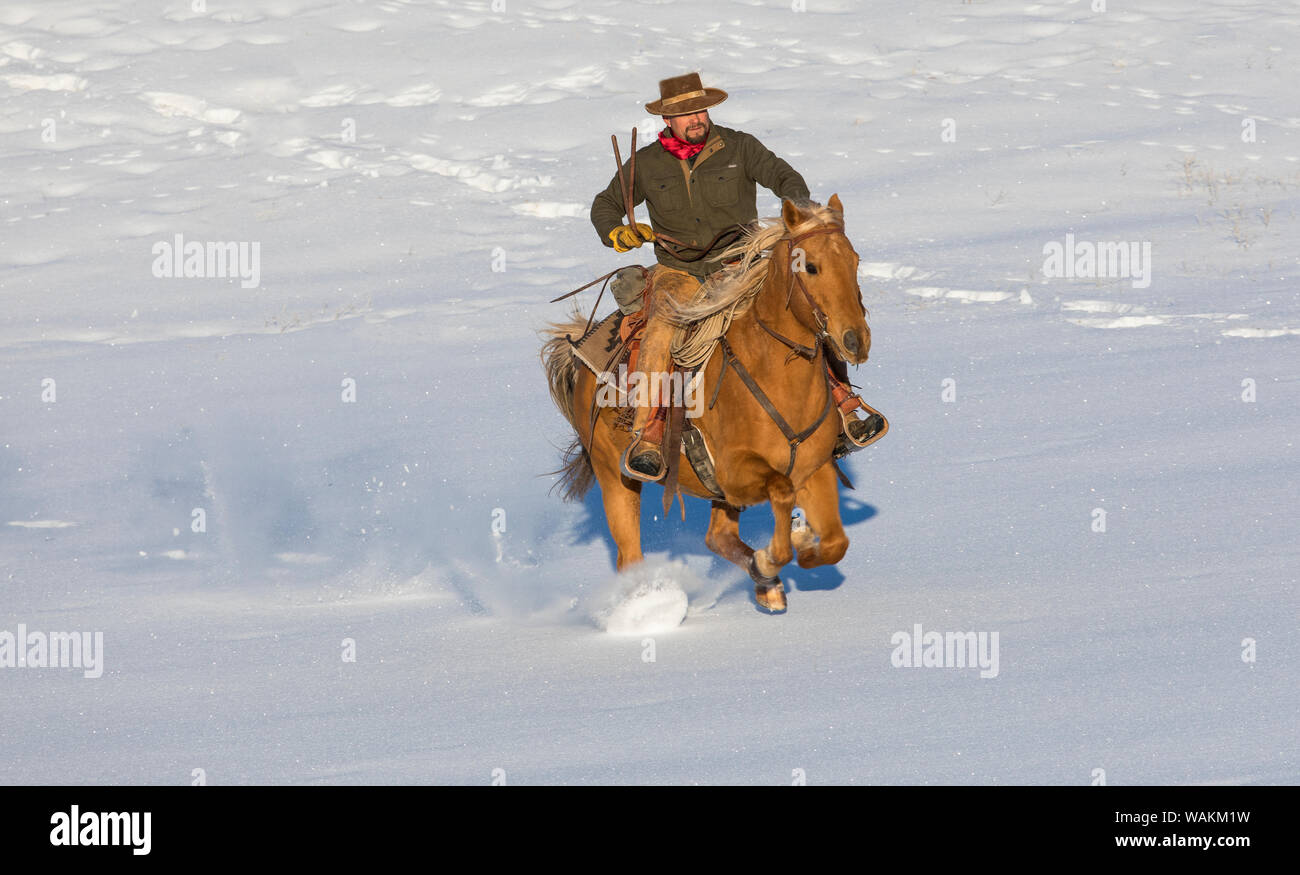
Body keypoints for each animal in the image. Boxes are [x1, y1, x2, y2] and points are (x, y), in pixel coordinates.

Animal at [541, 195, 871, 612]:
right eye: (810, 266)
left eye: (855, 260)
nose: (856, 340)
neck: (774, 376)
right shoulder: (735, 473)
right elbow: (781, 491)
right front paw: (775, 554)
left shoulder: (816, 469)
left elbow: (835, 543)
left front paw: (799, 546)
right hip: (615, 478)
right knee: (630, 557)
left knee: (717, 537)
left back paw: (767, 586)